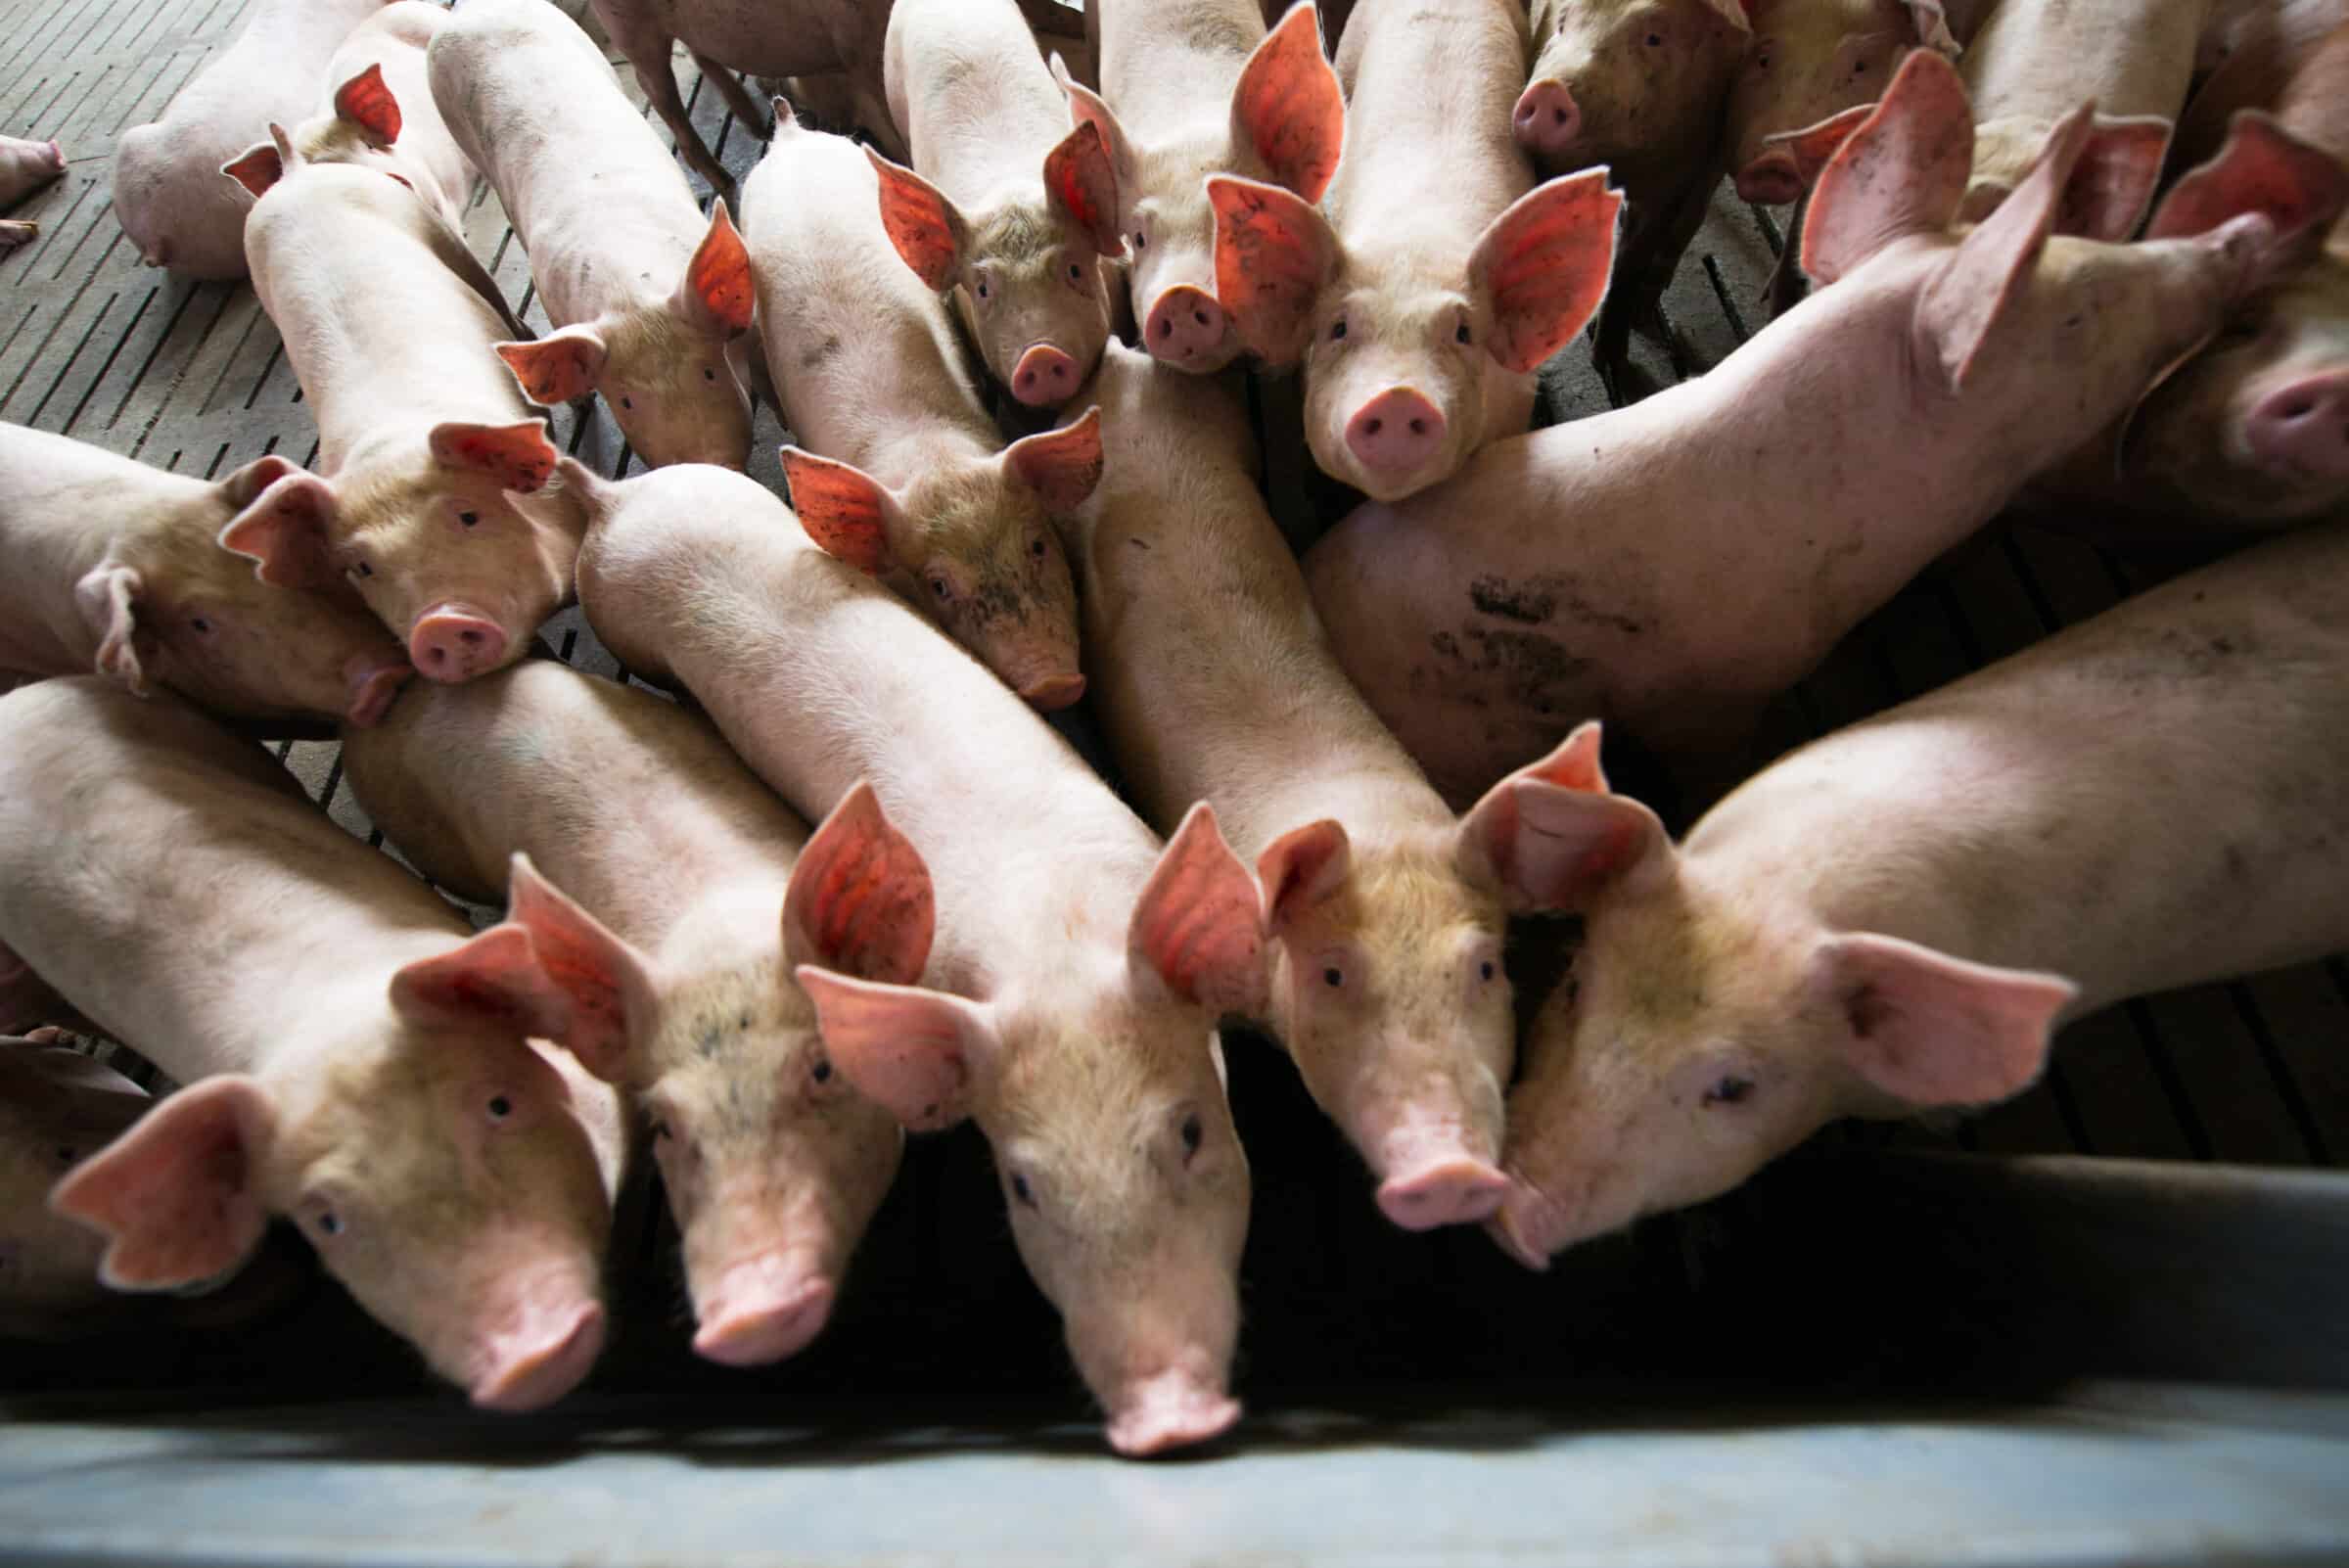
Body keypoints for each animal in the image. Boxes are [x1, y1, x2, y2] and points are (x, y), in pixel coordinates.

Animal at [0, 678, 627, 1408]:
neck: (326, 1025)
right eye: (327, 1221)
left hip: (209, 737)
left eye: (500, 1105)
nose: (531, 1354)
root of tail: (14, 709)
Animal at [214, 148, 585, 684]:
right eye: (363, 568)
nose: (439, 623)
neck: (387, 453)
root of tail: (297, 172)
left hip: (437, 234)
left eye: (469, 515)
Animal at [428, 0, 758, 470]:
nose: (706, 464)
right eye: (626, 402)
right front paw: (585, 402)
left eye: (710, 372)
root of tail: (465, 12)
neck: (630, 297)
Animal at [1516, 0, 1753, 388]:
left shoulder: (1674, 176)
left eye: (1653, 38)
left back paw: (1647, 305)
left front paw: (1613, 367)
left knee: (1693, 215)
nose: (1550, 89)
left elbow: (1631, 263)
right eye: (1562, 22)